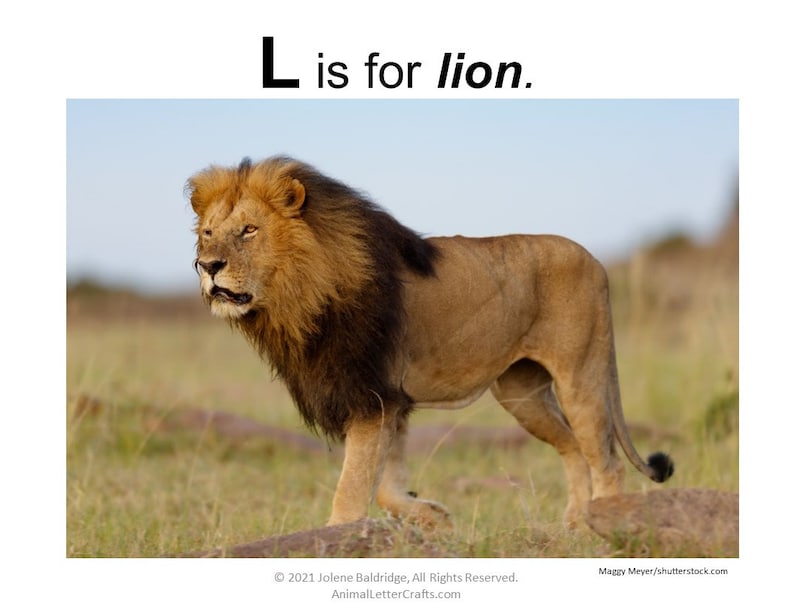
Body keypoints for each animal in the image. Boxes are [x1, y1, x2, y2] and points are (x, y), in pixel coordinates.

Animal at [186, 156, 674, 528]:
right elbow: (385, 483)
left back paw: (603, 528)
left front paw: (338, 535)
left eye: (249, 230)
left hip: (580, 376)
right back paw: (573, 524)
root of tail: (597, 261)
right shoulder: (388, 399)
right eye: (209, 232)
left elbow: (352, 487)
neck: (300, 295)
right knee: (573, 447)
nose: (207, 265)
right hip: (522, 393)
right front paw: (433, 515)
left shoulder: (371, 395)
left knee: (606, 459)